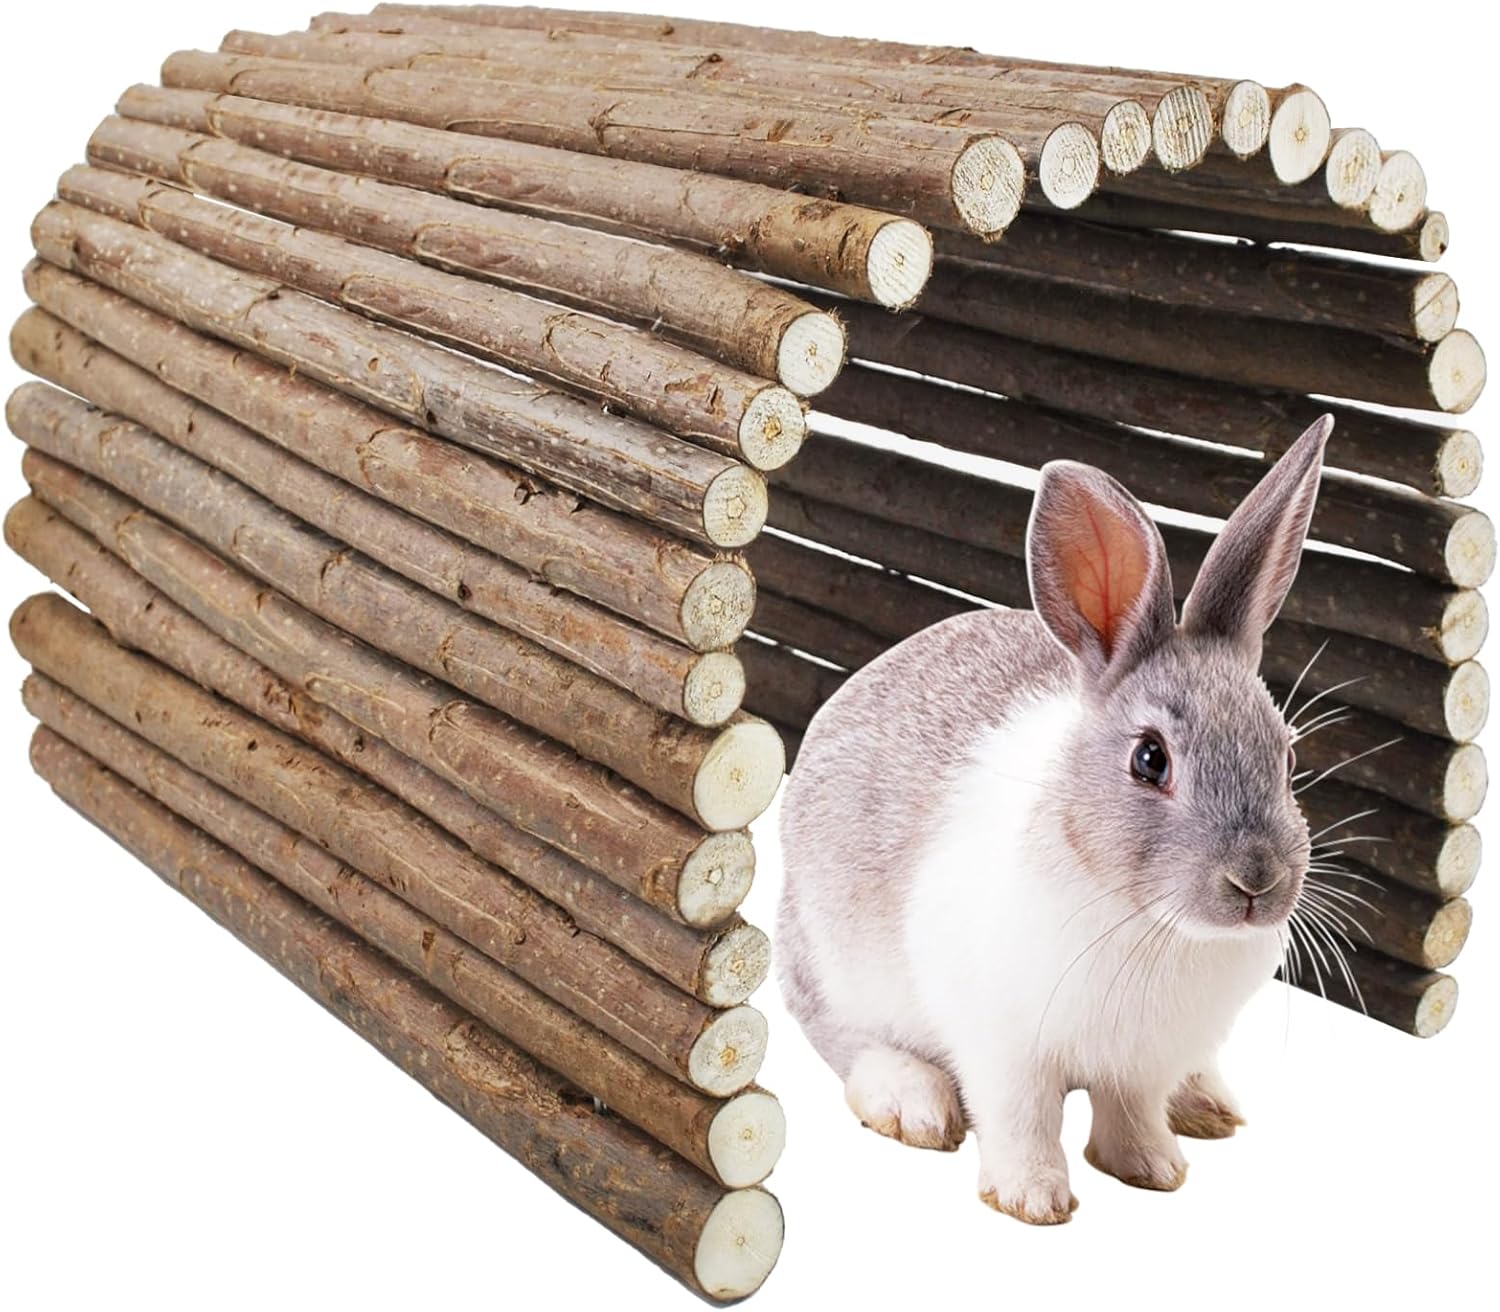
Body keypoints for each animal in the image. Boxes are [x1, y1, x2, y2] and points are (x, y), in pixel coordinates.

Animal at [776, 415, 1334, 1224]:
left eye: (1288, 758)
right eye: (1150, 760)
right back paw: (912, 1102)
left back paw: (1206, 1104)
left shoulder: (1141, 1065)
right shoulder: (1002, 1045)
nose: (1257, 880)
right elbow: (1022, 1118)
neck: (1151, 925)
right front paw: (1033, 1199)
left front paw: (1153, 1169)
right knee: (838, 1036)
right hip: (832, 964)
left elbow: (1132, 1112)